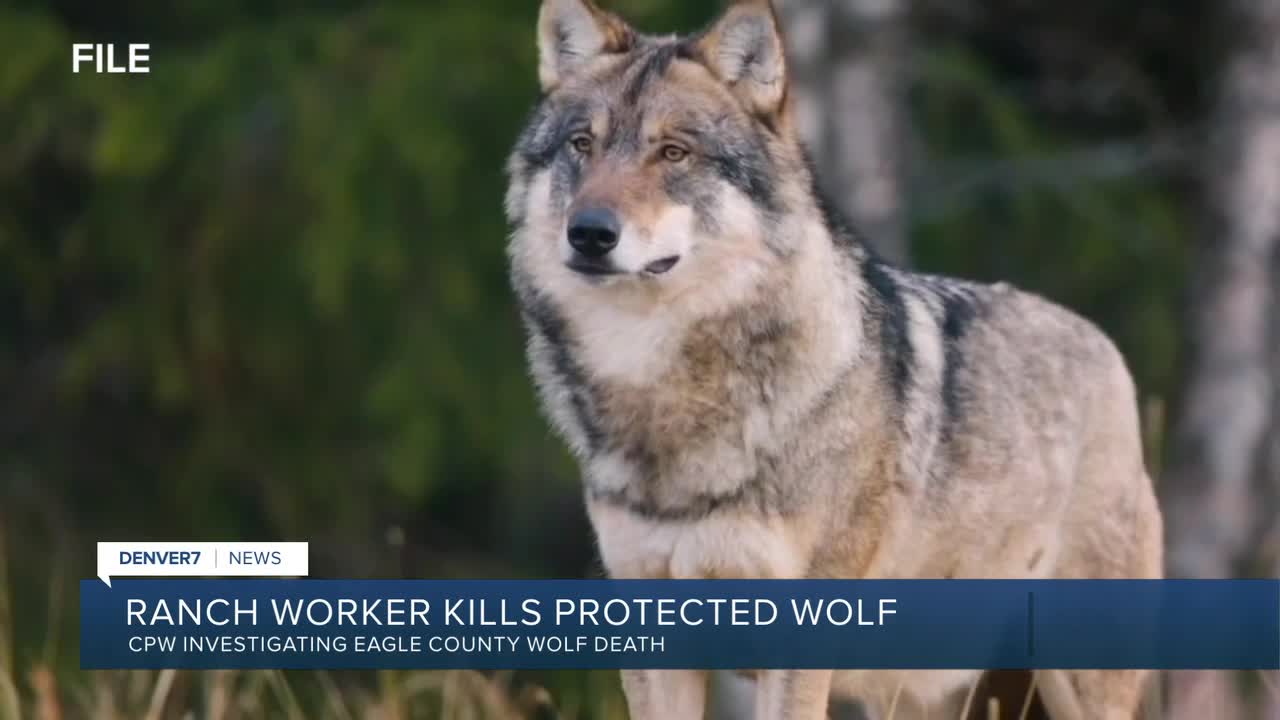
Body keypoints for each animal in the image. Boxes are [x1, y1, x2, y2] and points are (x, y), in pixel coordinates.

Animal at [505, 1, 1164, 718]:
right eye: (582, 145)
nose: (590, 233)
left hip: (1079, 682)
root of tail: (1103, 345)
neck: (665, 394)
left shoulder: (796, 648)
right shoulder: (654, 644)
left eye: (673, 151)